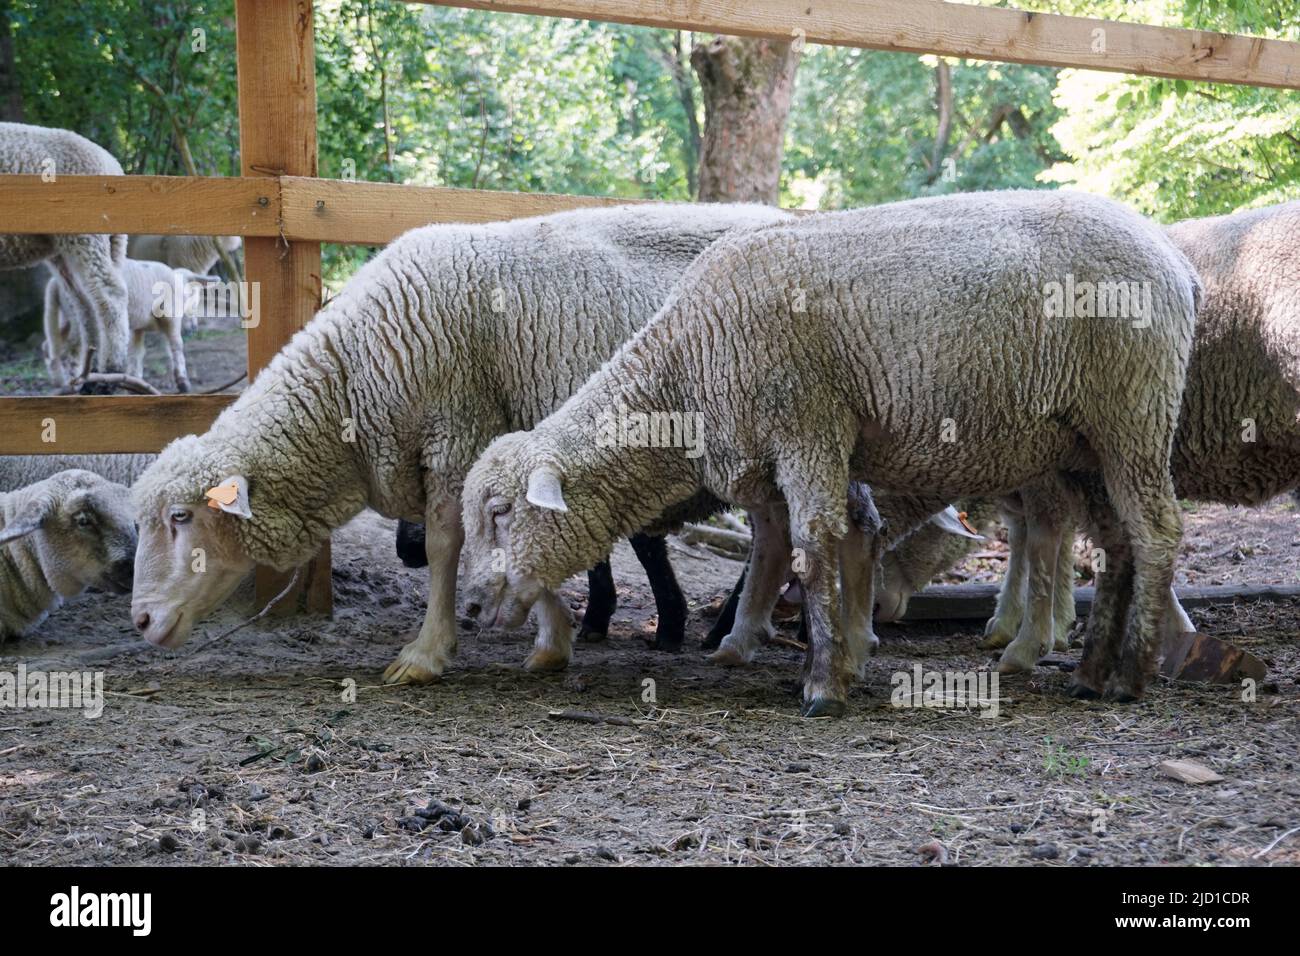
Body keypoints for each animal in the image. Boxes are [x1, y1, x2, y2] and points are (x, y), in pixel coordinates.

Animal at [0, 122, 130, 376]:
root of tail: (112, 163)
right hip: (71, 248)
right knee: (85, 304)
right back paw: (88, 369)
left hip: (85, 234)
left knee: (110, 294)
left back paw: (111, 365)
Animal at [44, 258, 211, 392]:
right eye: (194, 295)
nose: (193, 329)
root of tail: (55, 283)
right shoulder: (170, 316)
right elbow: (176, 346)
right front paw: (183, 383)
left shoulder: (138, 327)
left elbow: (137, 353)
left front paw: (135, 381)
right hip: (80, 315)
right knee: (73, 349)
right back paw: (77, 381)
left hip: (65, 316)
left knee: (51, 345)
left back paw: (62, 380)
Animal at [128, 203, 792, 679]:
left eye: (182, 517)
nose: (140, 619)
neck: (353, 373)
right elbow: (516, 542)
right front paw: (552, 641)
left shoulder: (458, 432)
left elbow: (450, 545)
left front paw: (425, 654)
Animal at [458, 189, 1201, 716]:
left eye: (500, 512)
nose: (467, 607)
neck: (686, 362)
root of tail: (1175, 261)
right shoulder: (789, 450)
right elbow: (813, 544)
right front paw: (834, 655)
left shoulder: (807, 428)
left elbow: (814, 546)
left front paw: (822, 685)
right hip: (1085, 442)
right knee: (1118, 543)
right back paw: (1090, 673)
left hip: (1133, 411)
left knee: (1157, 531)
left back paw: (1128, 676)